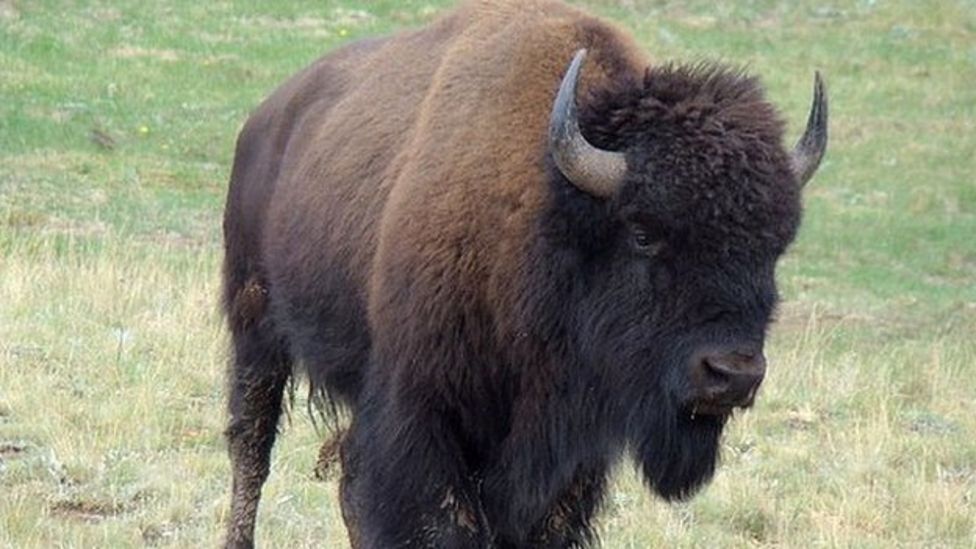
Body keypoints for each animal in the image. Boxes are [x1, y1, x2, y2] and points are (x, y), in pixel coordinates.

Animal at [221, 0, 827, 547]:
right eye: (642, 232)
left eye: (774, 247)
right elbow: (441, 523)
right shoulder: (424, 416)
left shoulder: (573, 448)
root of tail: (269, 118)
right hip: (256, 326)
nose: (733, 374)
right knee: (252, 448)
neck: (548, 213)